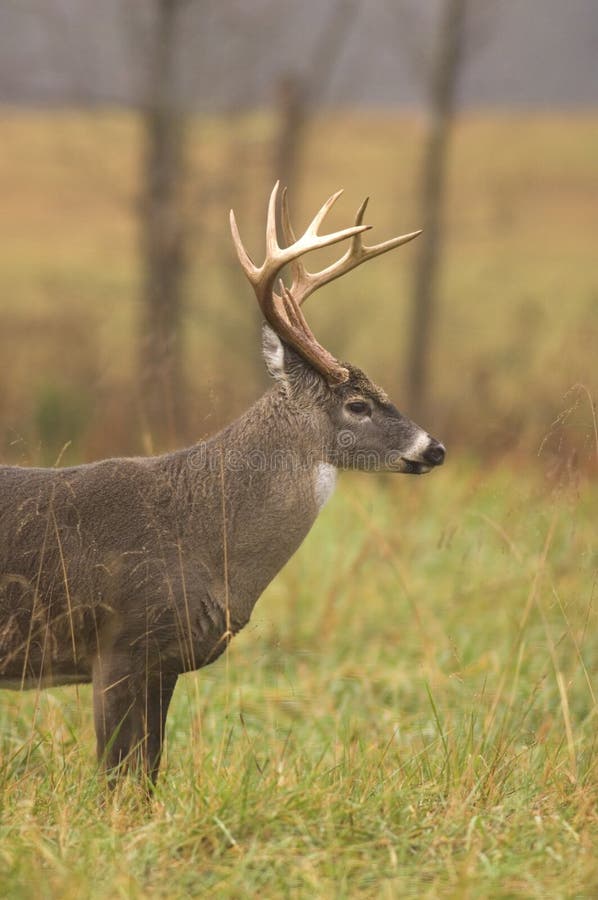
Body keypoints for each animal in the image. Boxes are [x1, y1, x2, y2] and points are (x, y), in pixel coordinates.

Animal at [0, 183, 445, 785]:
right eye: (357, 404)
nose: (434, 448)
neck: (203, 534)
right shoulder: (119, 643)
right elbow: (117, 776)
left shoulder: (164, 660)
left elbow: (147, 773)